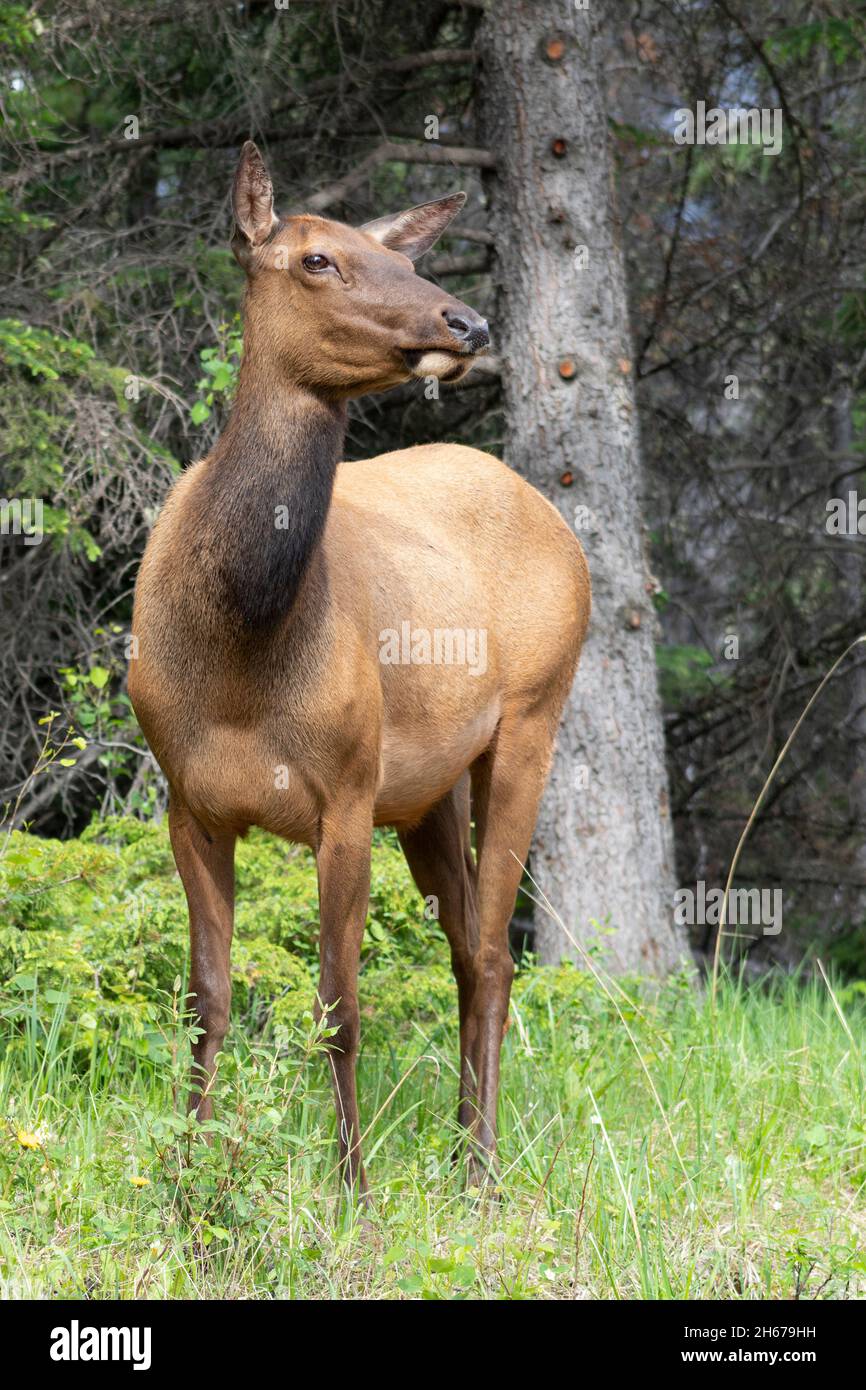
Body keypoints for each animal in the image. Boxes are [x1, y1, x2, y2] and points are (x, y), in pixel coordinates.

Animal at [127, 146, 589, 1200]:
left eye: (399, 257)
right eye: (315, 259)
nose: (466, 322)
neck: (241, 651)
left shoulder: (344, 792)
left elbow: (340, 1007)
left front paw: (352, 1193)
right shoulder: (189, 799)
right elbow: (203, 996)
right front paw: (187, 1181)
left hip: (531, 720)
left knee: (494, 954)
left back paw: (480, 1170)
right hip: (424, 792)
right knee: (465, 948)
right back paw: (461, 1148)